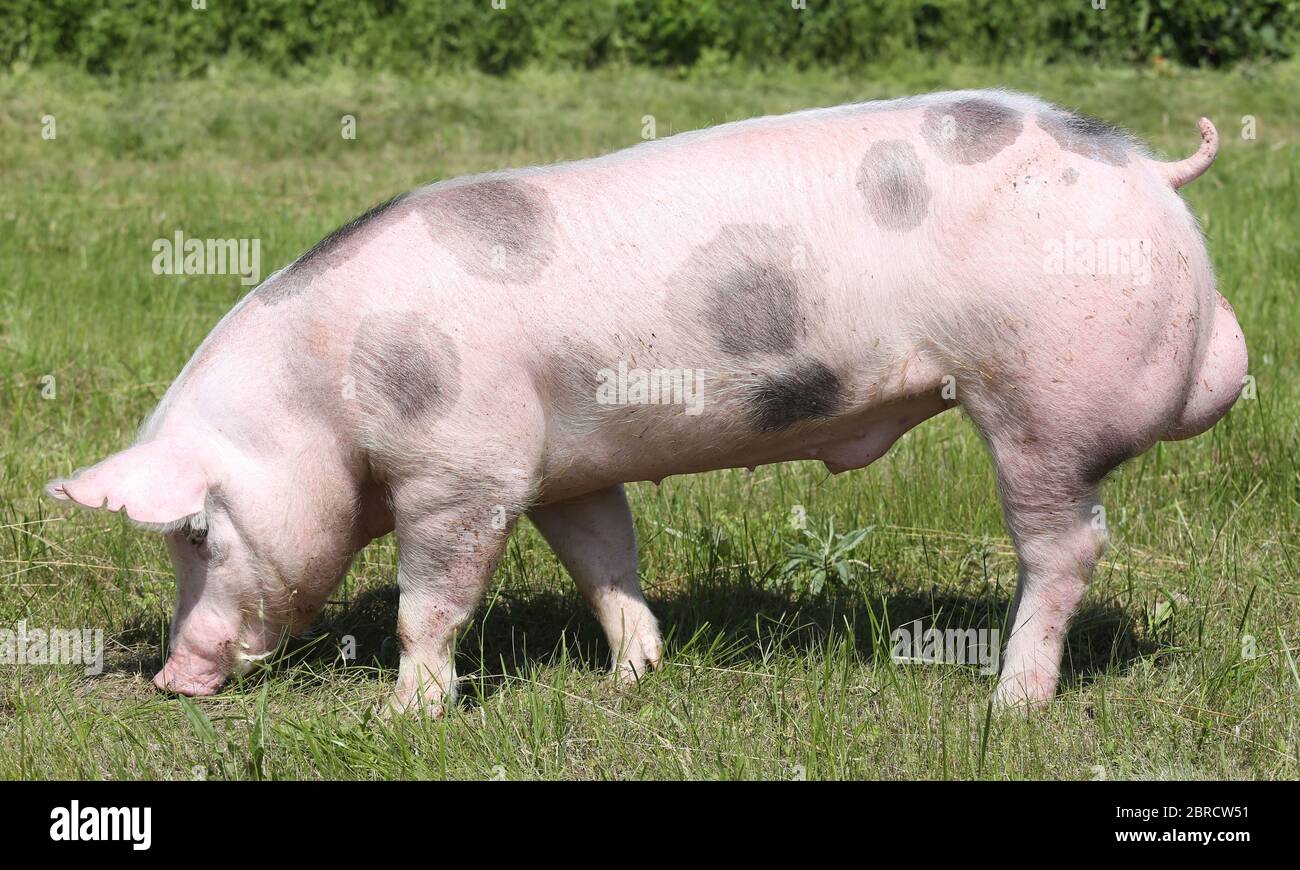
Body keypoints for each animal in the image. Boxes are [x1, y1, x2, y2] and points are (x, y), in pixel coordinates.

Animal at [47, 90, 1246, 714]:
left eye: (197, 533)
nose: (172, 676)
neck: (324, 394)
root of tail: (1151, 171)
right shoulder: (560, 465)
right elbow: (603, 561)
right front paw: (636, 674)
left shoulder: (462, 469)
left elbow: (429, 600)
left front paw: (408, 714)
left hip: (1039, 397)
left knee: (1068, 545)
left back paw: (1010, 702)